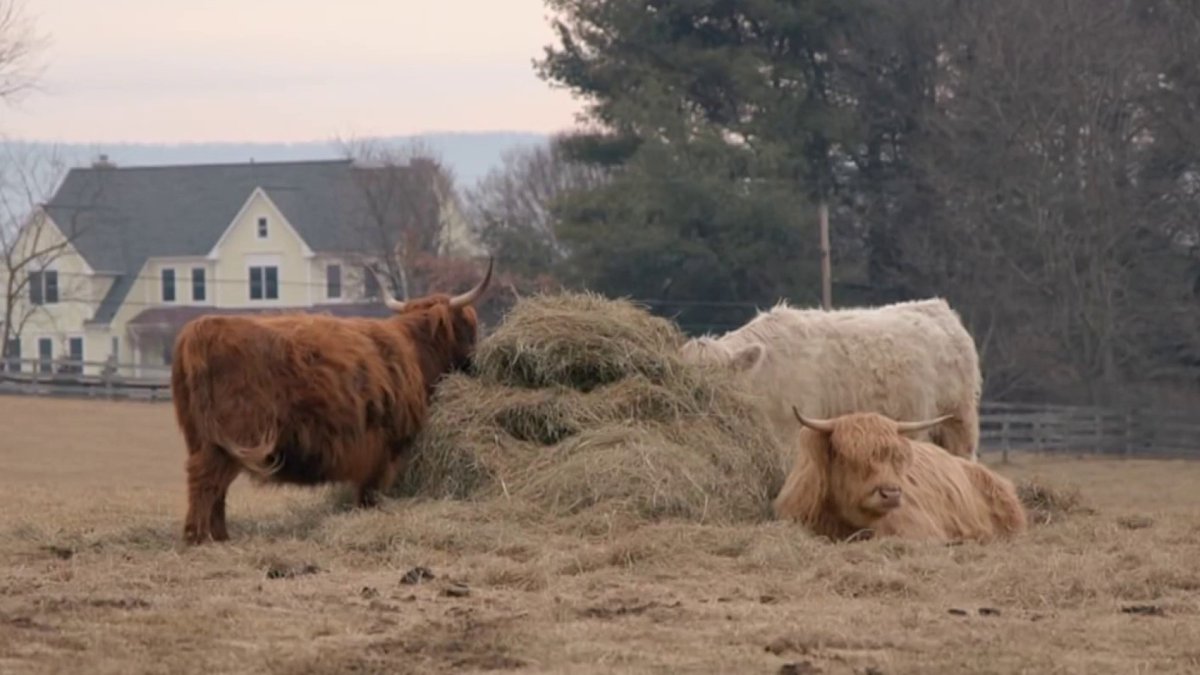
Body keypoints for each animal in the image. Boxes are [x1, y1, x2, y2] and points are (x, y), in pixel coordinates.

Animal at [170, 258, 494, 545]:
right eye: (470, 328)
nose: (477, 364)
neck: (416, 351)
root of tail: (202, 329)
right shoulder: (385, 450)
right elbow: (371, 494)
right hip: (232, 435)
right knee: (204, 477)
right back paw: (197, 537)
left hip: (203, 437)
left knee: (216, 487)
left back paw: (221, 536)